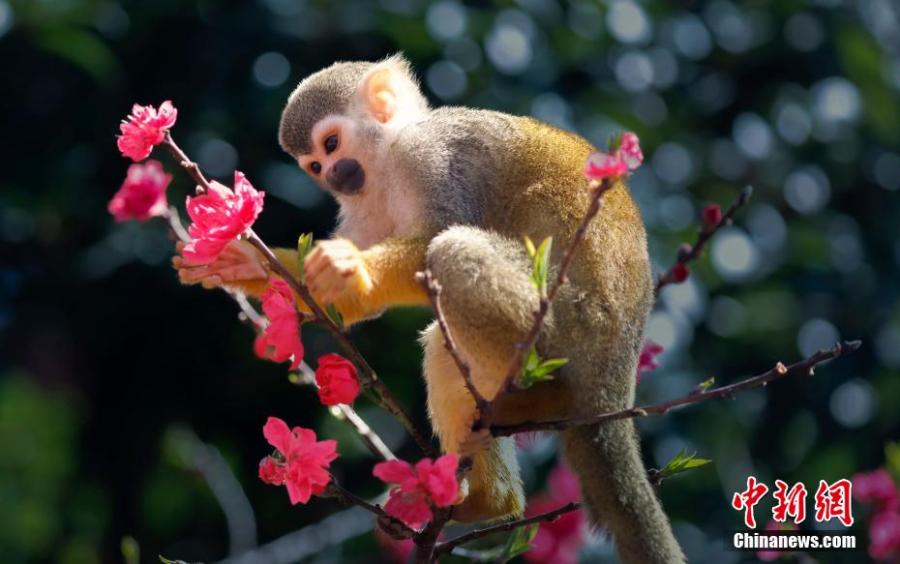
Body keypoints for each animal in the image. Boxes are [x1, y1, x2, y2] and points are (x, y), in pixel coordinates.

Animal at [173, 55, 684, 563]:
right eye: (315, 165)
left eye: (332, 144)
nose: (333, 175)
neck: (385, 160)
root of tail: (615, 385)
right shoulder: (363, 199)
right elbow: (343, 298)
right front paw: (245, 261)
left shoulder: (428, 156)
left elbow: (431, 240)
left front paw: (351, 264)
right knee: (444, 341)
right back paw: (488, 499)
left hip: (576, 322)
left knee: (450, 251)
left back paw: (543, 397)